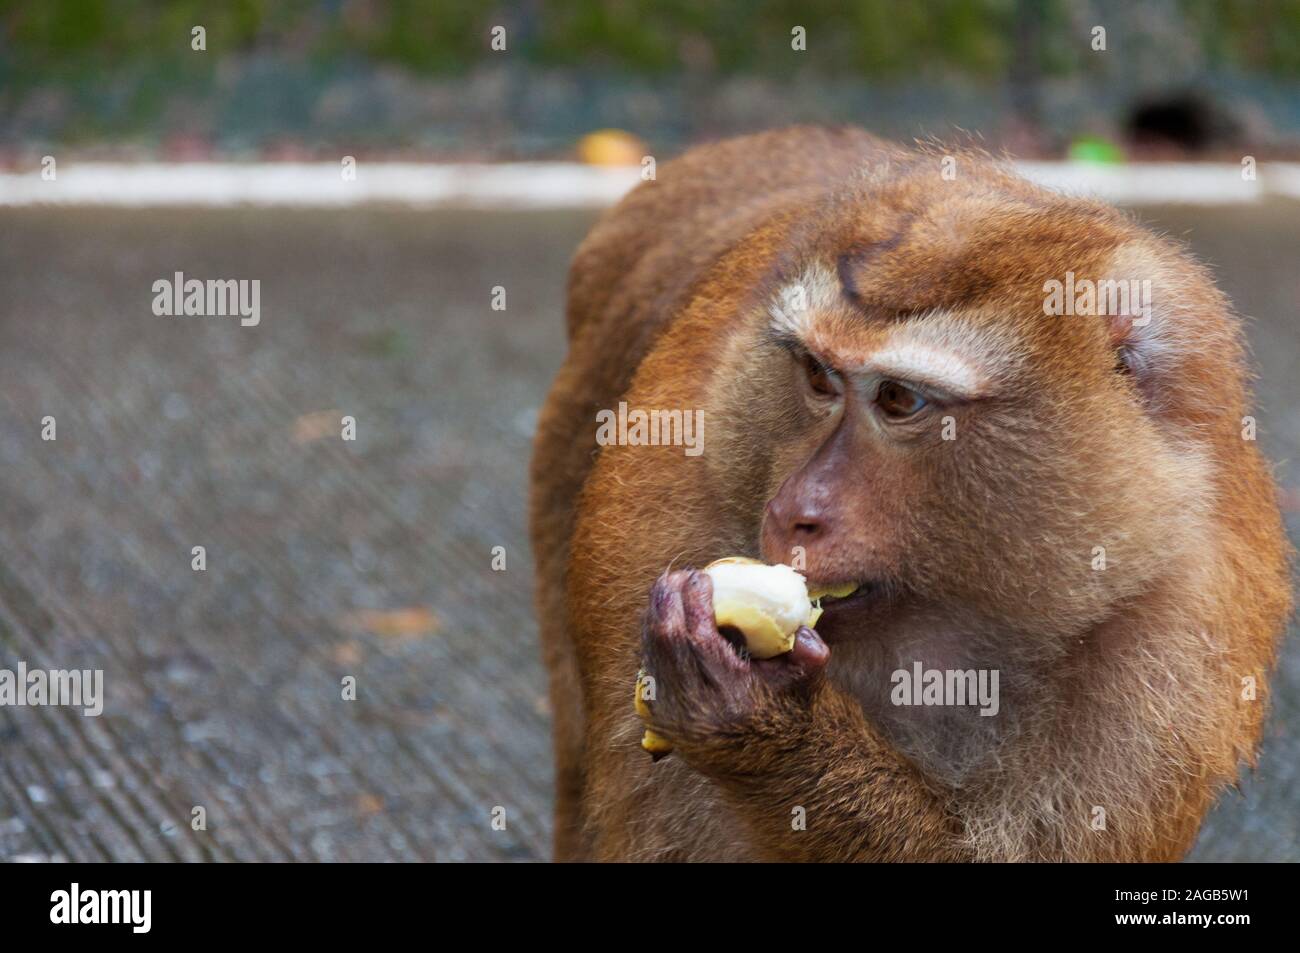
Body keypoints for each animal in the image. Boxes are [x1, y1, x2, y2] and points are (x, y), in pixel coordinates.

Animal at [528, 126, 1292, 862]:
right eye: (818, 376)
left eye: (898, 399)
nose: (793, 512)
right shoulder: (651, 530)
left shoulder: (1176, 650)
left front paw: (765, 727)